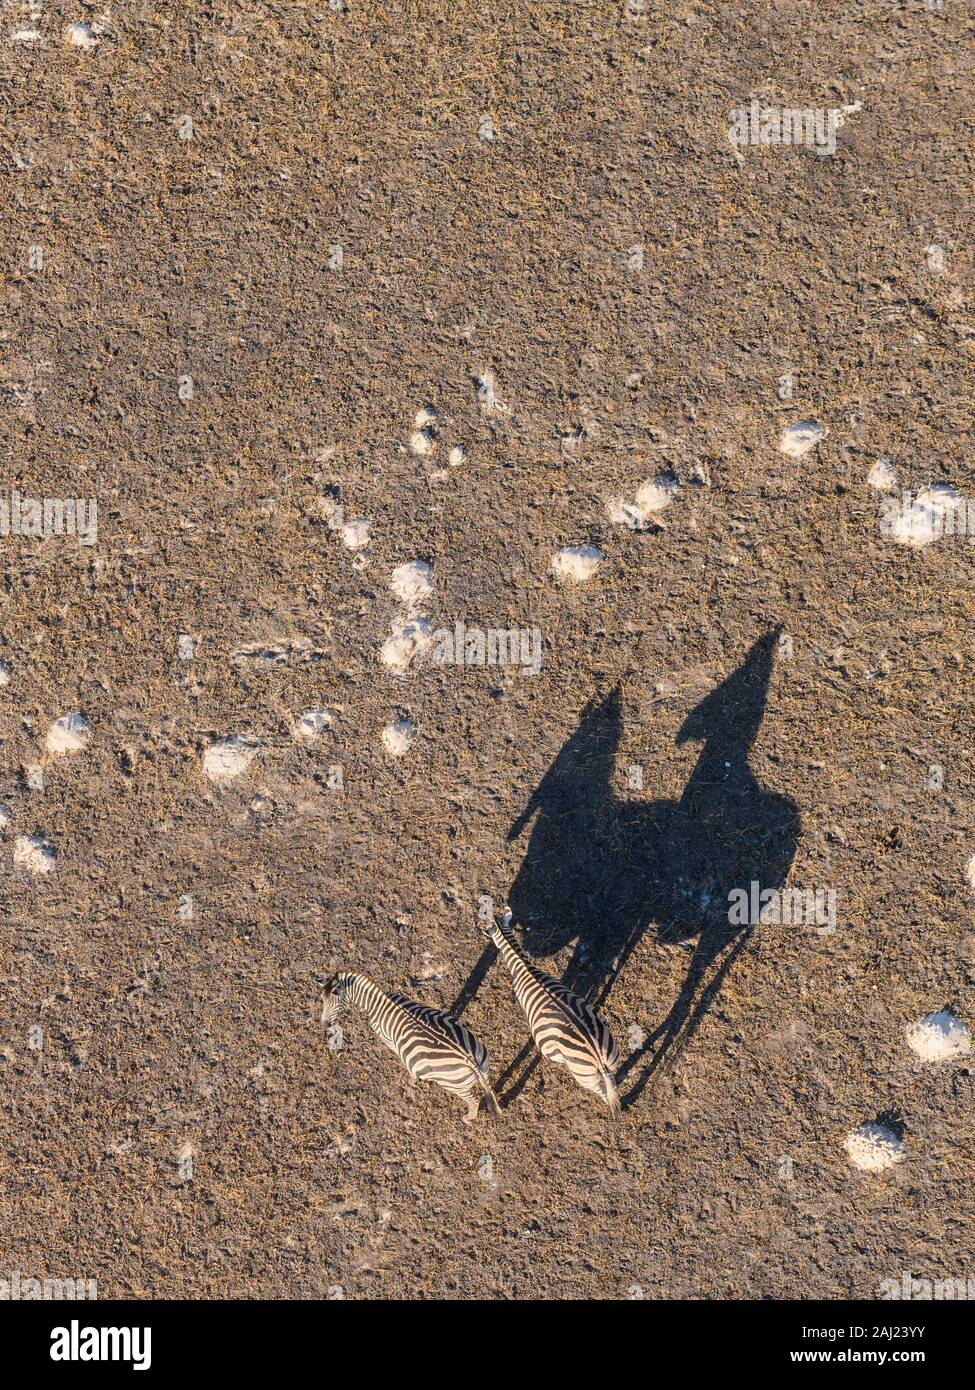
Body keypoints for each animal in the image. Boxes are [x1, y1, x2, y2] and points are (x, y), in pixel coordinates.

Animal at [321, 971, 501, 1121]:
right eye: (322, 1000)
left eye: (334, 1002)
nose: (324, 1024)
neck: (377, 1005)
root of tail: (470, 1060)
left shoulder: (387, 1038)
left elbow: (403, 1058)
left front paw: (412, 1079)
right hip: (483, 1067)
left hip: (454, 1085)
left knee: (474, 1100)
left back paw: (468, 1118)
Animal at [487, 915, 621, 1115]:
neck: (524, 967)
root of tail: (598, 1056)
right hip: (611, 1057)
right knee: (613, 1083)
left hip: (584, 1076)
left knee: (602, 1092)